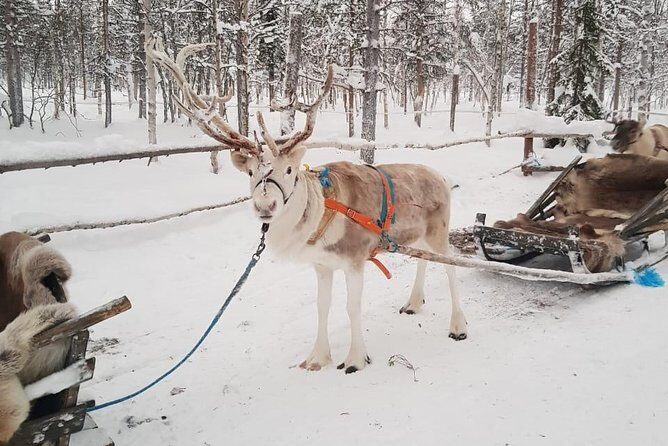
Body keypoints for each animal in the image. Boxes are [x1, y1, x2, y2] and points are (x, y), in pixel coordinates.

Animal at [147, 37, 467, 374]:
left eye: (288, 169)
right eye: (250, 172)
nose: (265, 204)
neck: (320, 215)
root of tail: (441, 177)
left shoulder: (355, 260)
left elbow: (352, 308)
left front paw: (355, 358)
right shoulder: (322, 264)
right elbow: (322, 307)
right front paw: (317, 358)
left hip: (439, 230)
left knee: (450, 267)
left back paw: (458, 326)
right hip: (417, 235)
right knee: (424, 260)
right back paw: (413, 302)